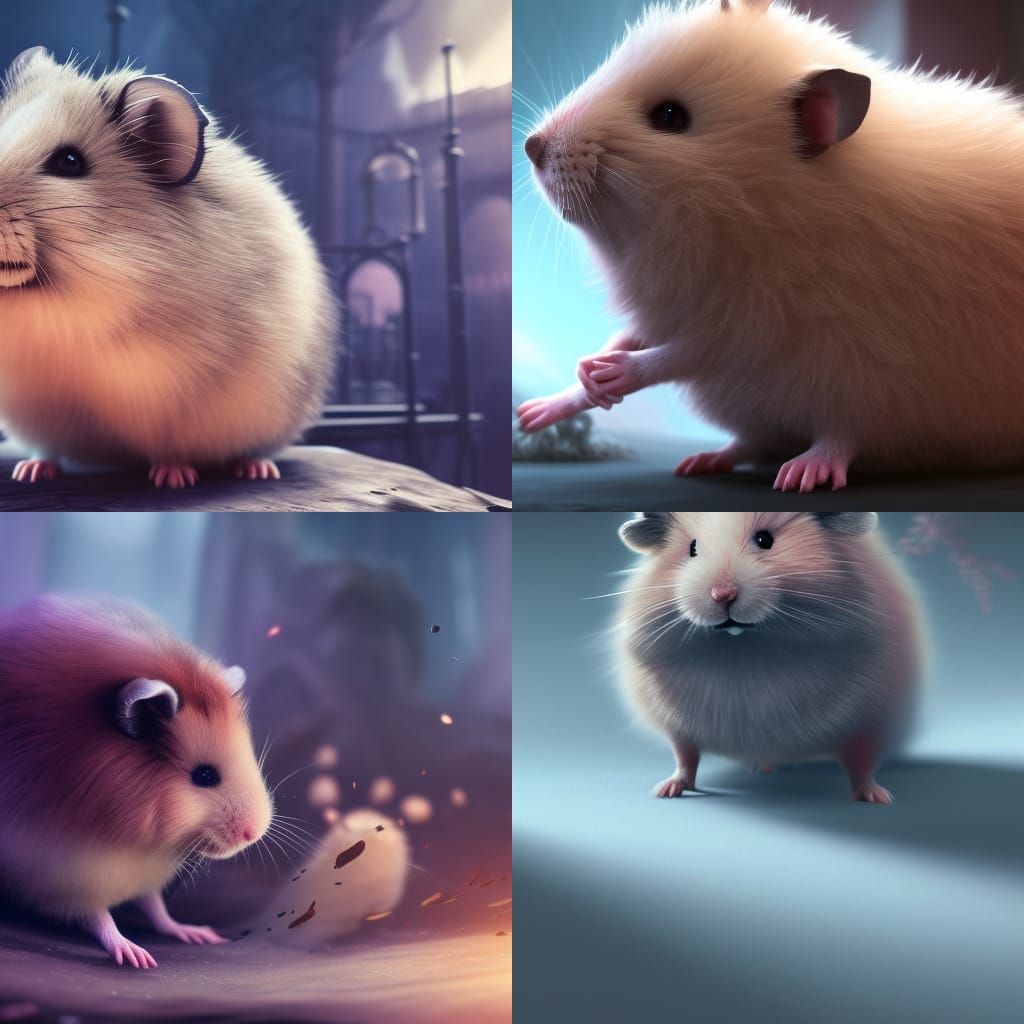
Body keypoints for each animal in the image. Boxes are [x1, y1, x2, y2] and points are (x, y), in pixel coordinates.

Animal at [0, 595, 273, 967]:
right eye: (204, 775)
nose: (254, 833)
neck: (140, 842)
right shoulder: (65, 875)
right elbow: (99, 917)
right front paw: (136, 957)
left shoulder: (142, 874)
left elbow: (155, 907)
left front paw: (199, 934)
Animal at [518, 0, 1024, 491]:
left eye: (670, 117)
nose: (530, 146)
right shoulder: (671, 307)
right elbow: (632, 340)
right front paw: (577, 379)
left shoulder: (753, 324)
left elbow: (681, 355)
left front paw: (613, 372)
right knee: (756, 442)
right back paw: (703, 457)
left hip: (865, 393)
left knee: (841, 437)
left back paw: (805, 472)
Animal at [615, 512, 924, 802]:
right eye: (692, 549)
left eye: (765, 540)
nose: (722, 594)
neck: (744, 651)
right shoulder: (676, 725)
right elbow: (684, 757)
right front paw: (665, 790)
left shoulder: (869, 717)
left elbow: (862, 762)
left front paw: (878, 797)